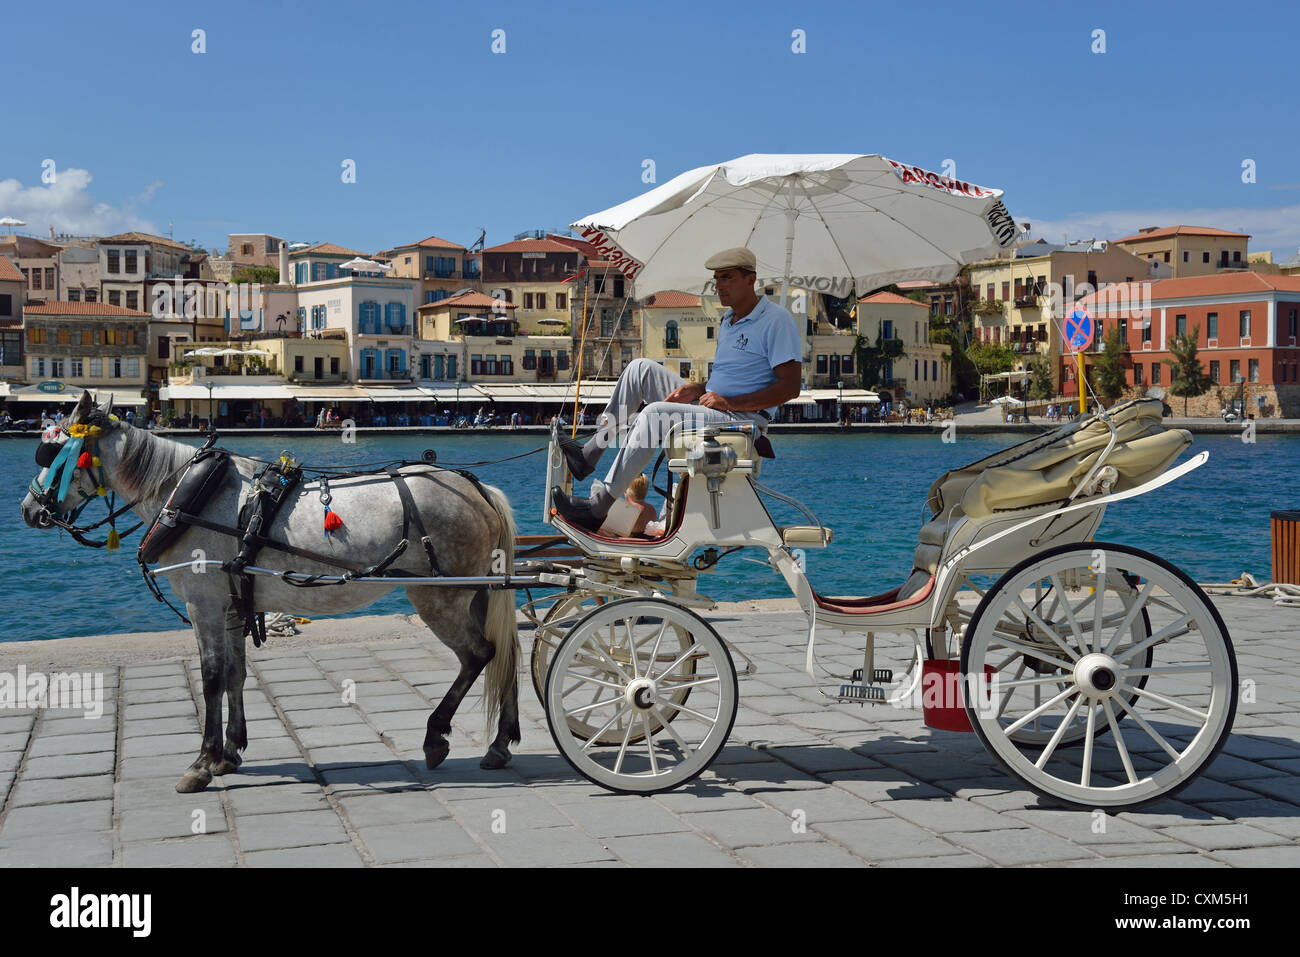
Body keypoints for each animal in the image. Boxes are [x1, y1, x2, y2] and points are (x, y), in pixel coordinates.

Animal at [20, 391, 521, 794]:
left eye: (52, 452)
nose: (28, 509)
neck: (188, 495)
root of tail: (479, 489)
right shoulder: (232, 606)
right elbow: (236, 674)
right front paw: (230, 752)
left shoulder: (204, 604)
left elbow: (211, 678)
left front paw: (202, 762)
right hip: (476, 591)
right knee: (506, 652)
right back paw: (500, 745)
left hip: (439, 596)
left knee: (479, 653)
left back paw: (437, 735)